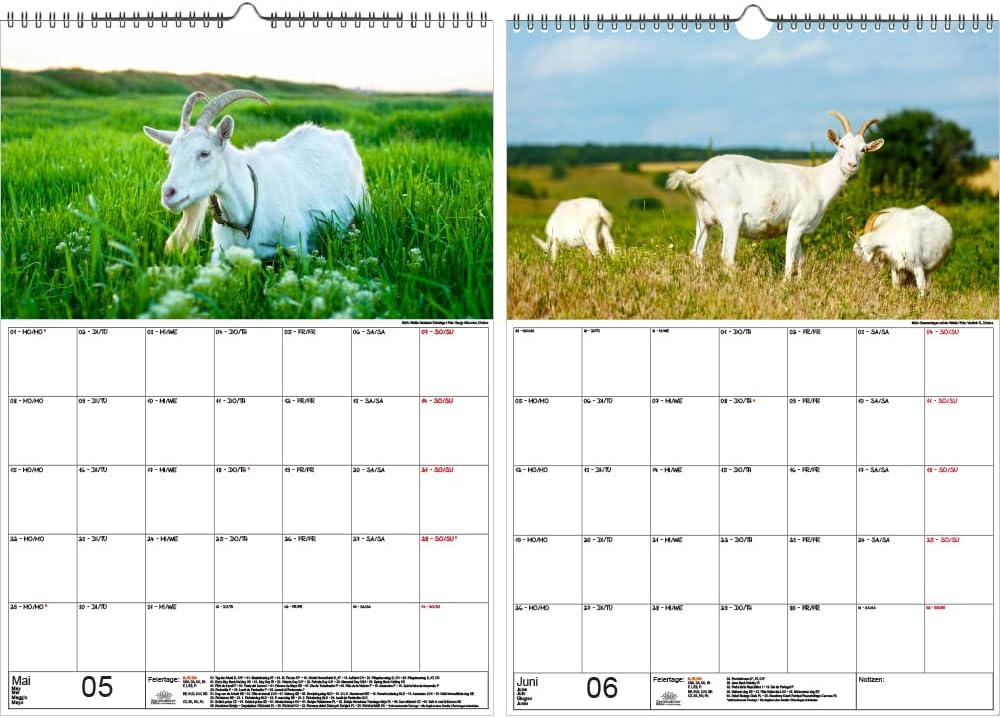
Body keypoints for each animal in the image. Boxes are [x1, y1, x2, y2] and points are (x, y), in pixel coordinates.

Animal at [144, 90, 368, 261]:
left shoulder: (298, 246)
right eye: (171, 155)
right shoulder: (220, 254)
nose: (168, 193)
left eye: (204, 153)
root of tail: (339, 136)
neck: (248, 208)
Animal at [666, 111, 884, 279]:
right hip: (730, 218)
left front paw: (800, 282)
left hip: (703, 218)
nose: (851, 165)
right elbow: (790, 258)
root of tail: (697, 176)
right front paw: (786, 283)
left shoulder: (797, 228)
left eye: (863, 149)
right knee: (727, 256)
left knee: (697, 252)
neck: (817, 180)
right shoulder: (796, 223)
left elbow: (801, 260)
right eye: (841, 145)